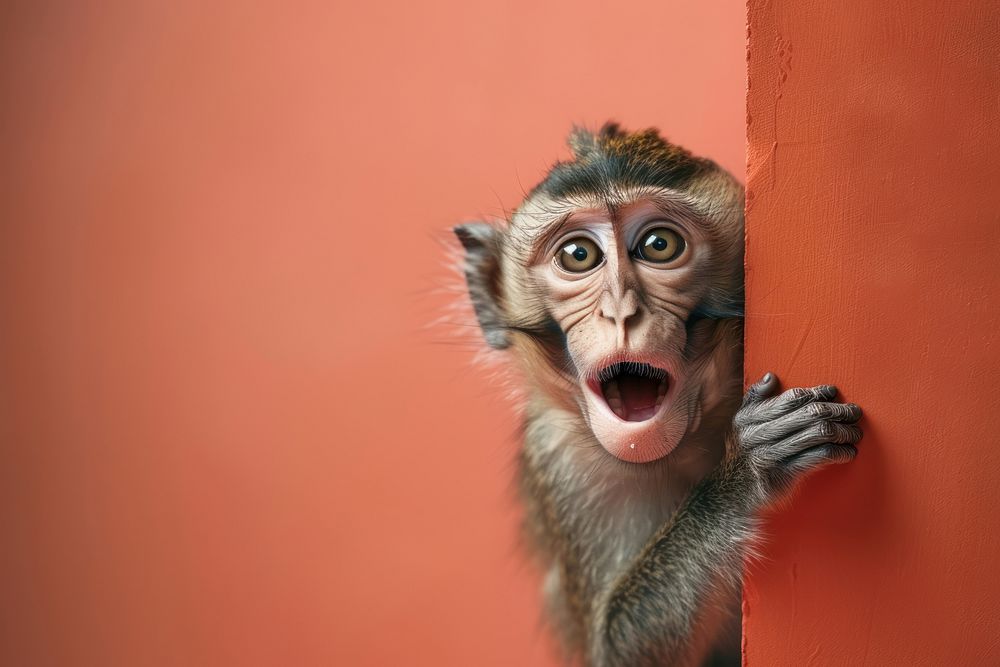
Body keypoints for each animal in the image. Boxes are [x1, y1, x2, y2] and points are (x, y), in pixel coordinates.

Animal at [453, 123, 863, 667]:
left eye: (659, 244)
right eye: (578, 255)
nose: (621, 312)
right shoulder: (560, 463)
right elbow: (618, 652)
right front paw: (740, 477)